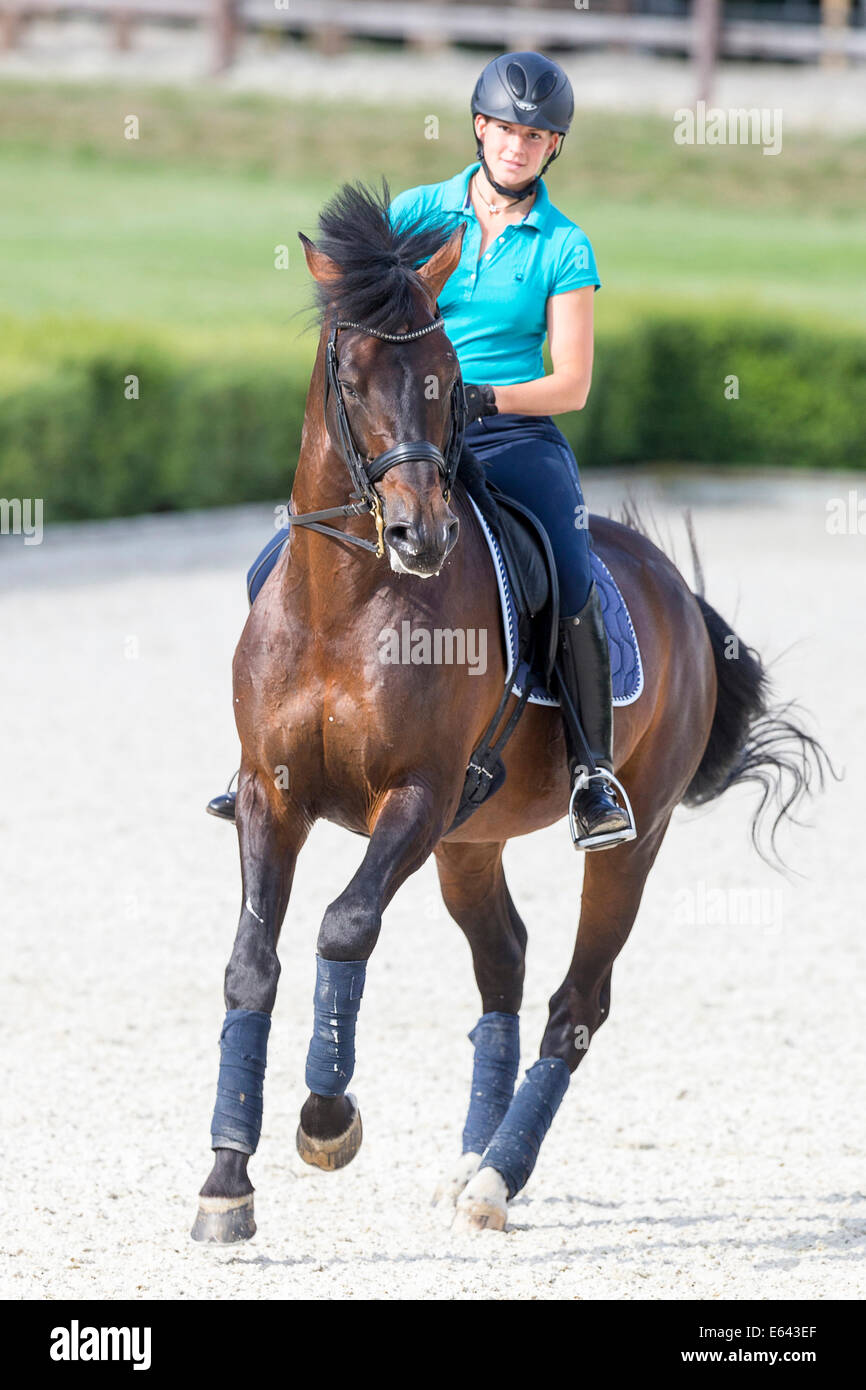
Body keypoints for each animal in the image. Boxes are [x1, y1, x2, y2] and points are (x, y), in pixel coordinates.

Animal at [191, 181, 829, 1242]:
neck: (346, 604)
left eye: (451, 378)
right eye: (351, 379)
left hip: (626, 840)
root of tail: (674, 589)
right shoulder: (270, 797)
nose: (422, 534)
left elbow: (343, 927)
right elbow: (251, 963)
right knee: (506, 965)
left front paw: (327, 1124)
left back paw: (497, 1177)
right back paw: (468, 1163)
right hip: (470, 841)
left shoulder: (415, 797)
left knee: (578, 1001)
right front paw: (226, 1182)